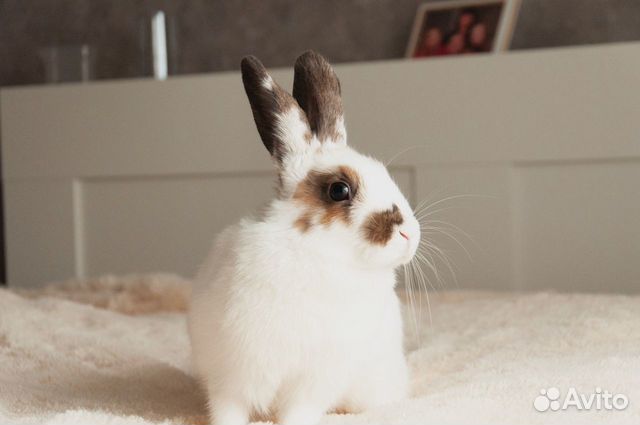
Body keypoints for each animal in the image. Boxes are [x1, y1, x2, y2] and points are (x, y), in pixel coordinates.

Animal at [188, 51, 420, 425]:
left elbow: (298, 411)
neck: (317, 253)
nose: (410, 234)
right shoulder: (232, 373)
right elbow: (227, 409)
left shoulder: (315, 379)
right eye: (339, 190)